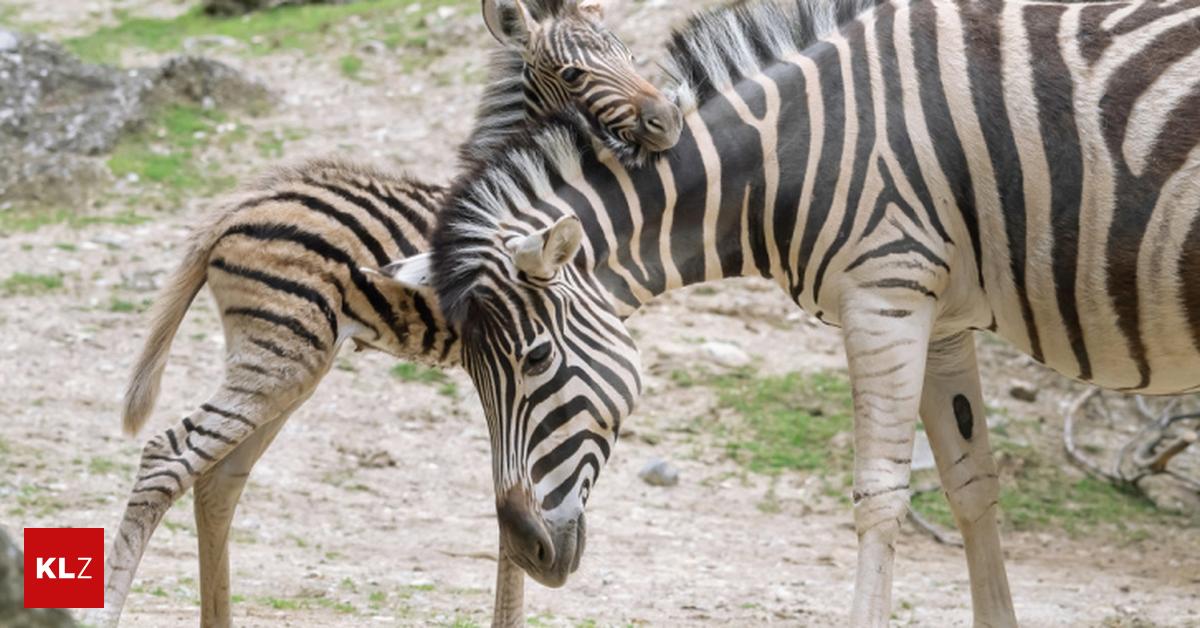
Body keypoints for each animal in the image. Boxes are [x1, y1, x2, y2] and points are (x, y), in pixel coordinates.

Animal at [88, 1, 681, 625]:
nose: (668, 118)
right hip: (279, 356)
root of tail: (232, 209)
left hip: (283, 359)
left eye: (629, 53)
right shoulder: (526, 364)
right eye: (572, 74)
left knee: (215, 477)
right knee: (166, 457)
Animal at [377, 0, 1200, 625]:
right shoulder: (942, 315)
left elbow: (880, 497)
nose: (529, 551)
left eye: (536, 360)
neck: (787, 160)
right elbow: (972, 485)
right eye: (472, 379)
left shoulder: (886, 295)